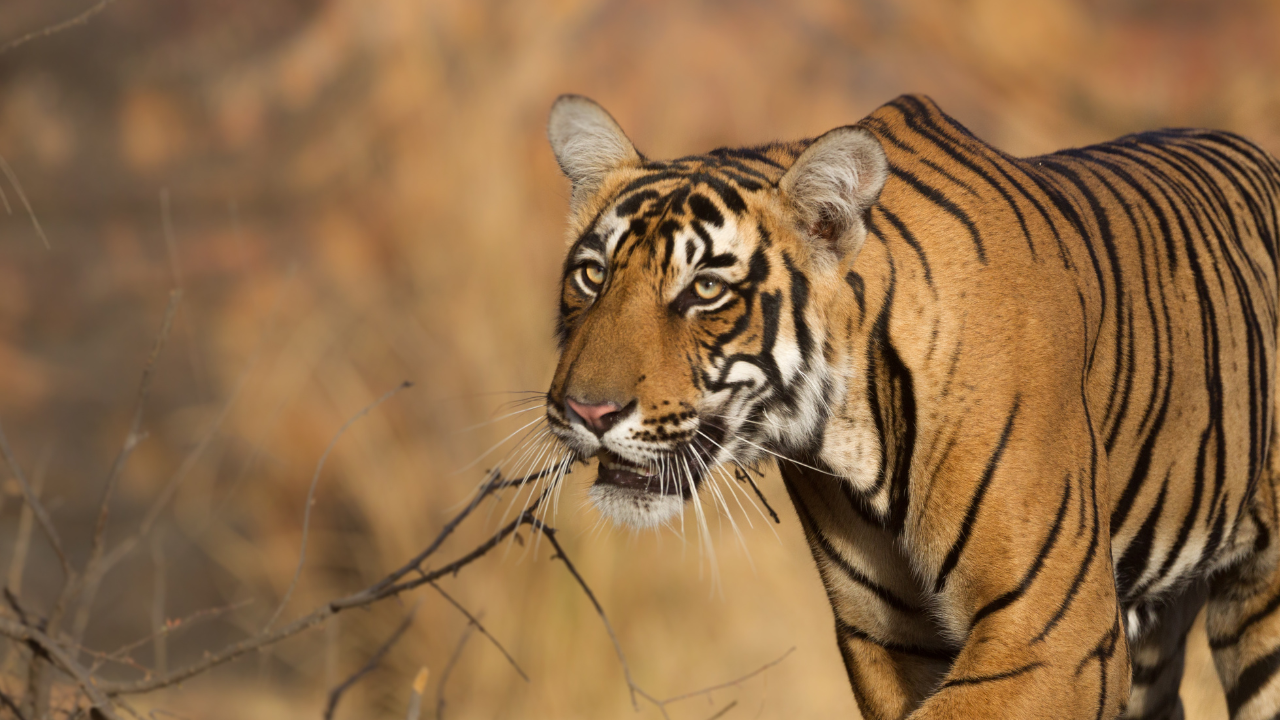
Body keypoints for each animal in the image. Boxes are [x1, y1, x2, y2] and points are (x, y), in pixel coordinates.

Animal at [539, 92, 1280, 720]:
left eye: (706, 290)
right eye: (592, 275)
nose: (586, 412)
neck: (852, 431)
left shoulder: (1053, 636)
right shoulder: (892, 638)